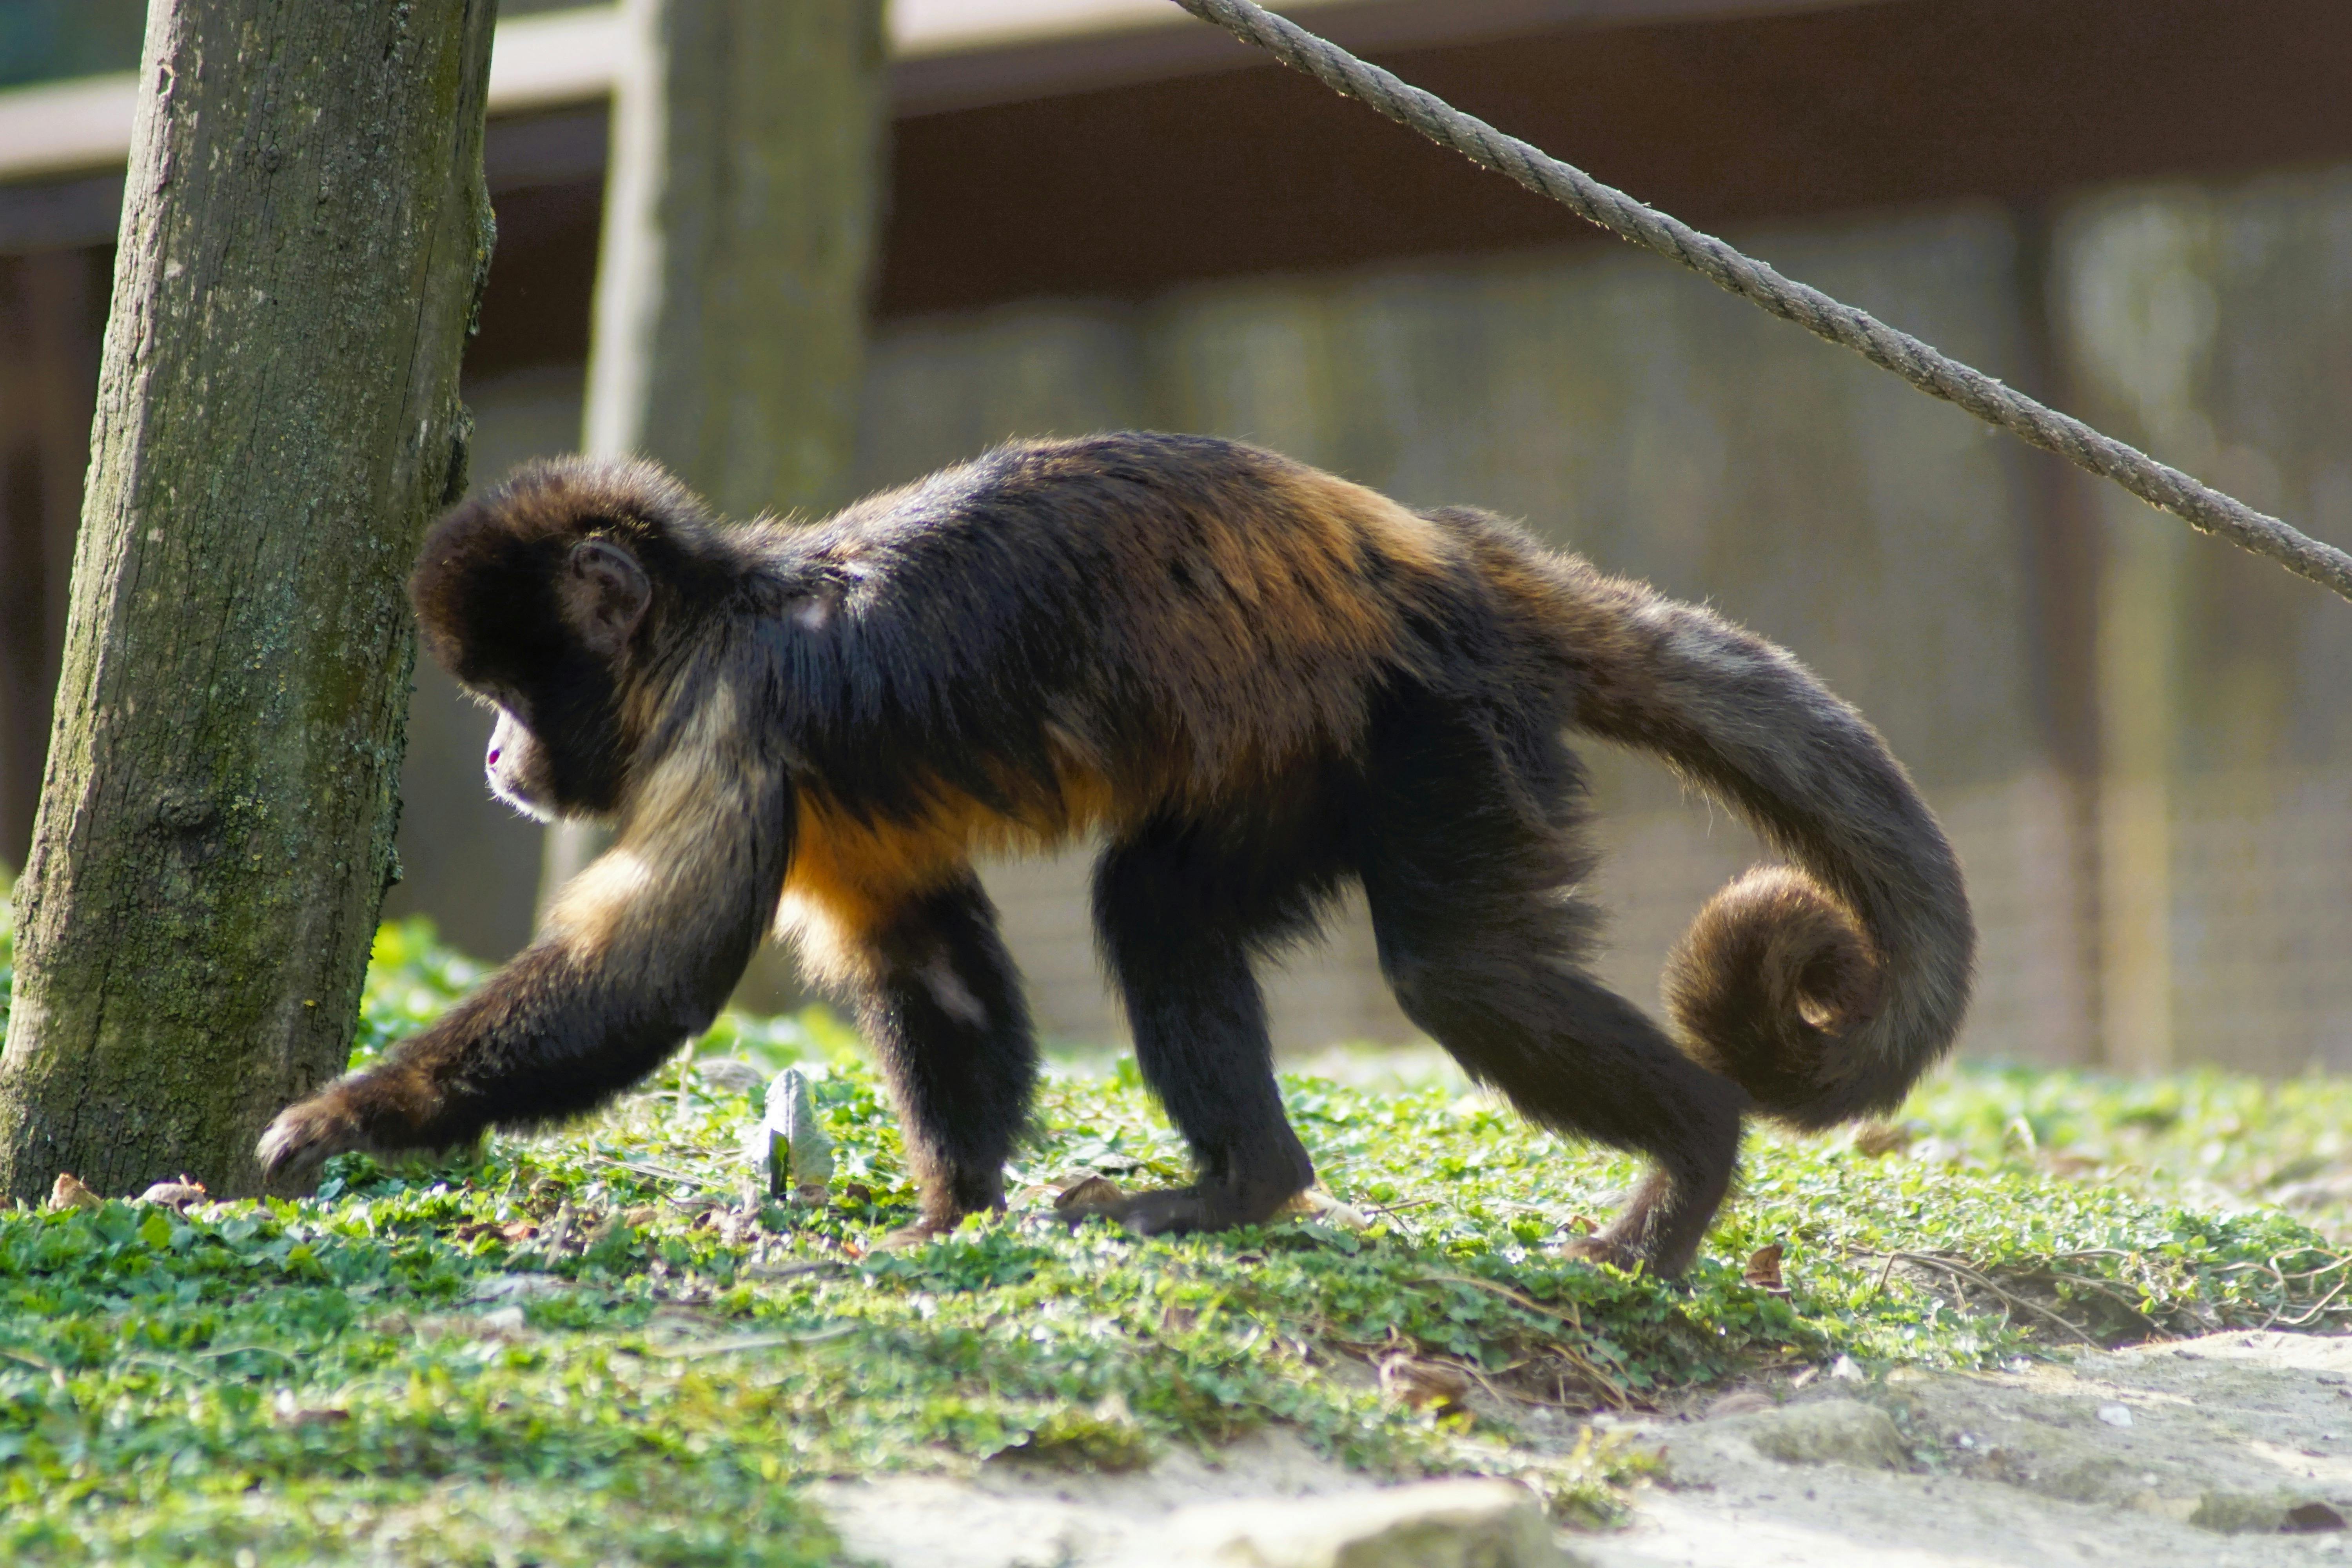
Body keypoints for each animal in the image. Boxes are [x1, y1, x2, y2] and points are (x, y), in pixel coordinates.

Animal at [258, 432, 1973, 1276]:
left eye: (504, 694)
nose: (495, 756)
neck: (721, 610)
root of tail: (1443, 557)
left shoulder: (724, 722)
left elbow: (655, 976)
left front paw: (354, 1115)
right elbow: (929, 963)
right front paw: (948, 1215)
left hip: (1435, 721)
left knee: (1455, 971)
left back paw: (1691, 1157)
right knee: (1165, 907)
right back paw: (1253, 1183)